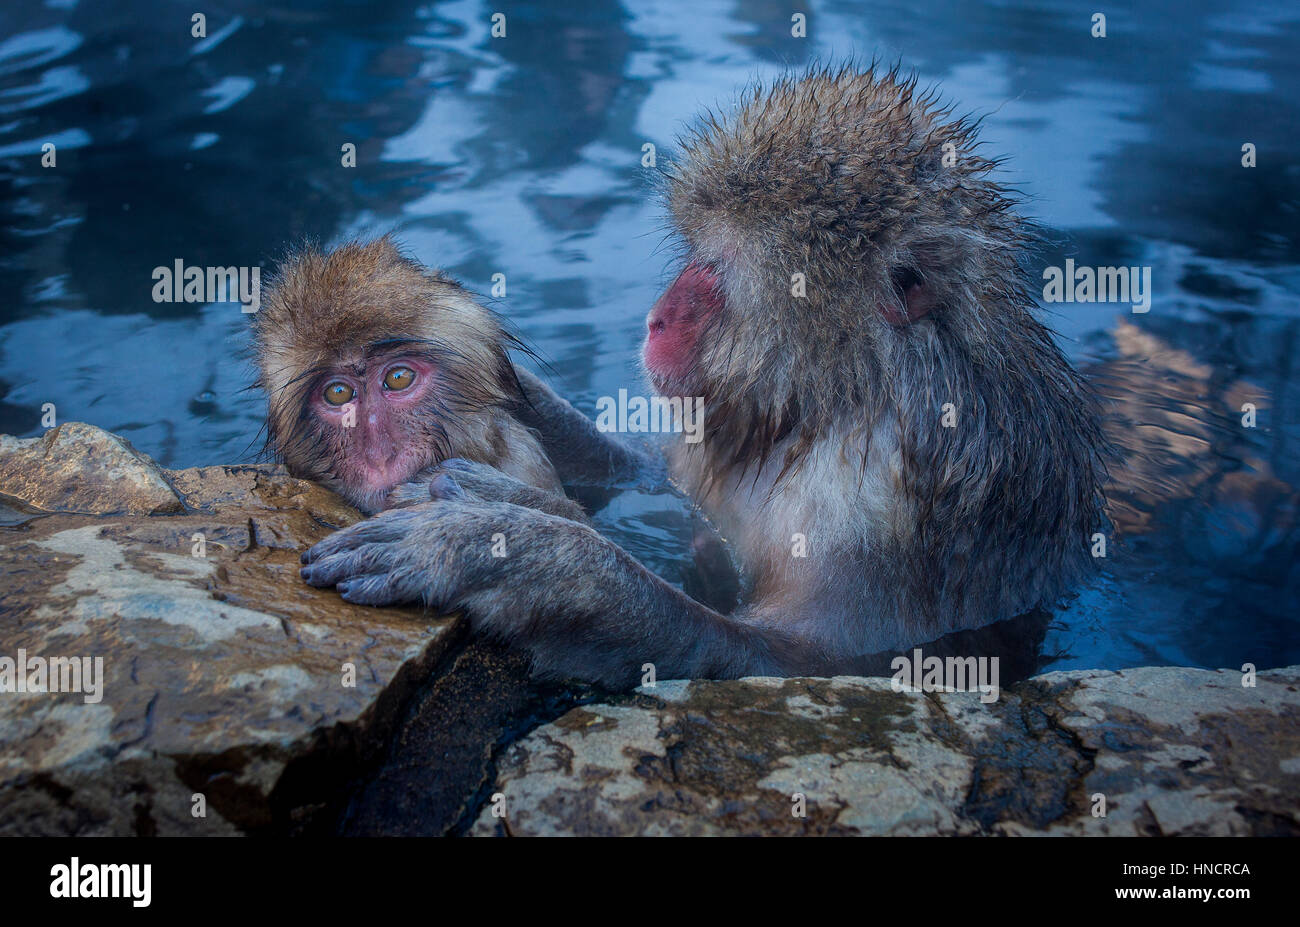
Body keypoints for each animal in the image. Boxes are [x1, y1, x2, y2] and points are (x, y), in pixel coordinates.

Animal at [300, 66, 1109, 686]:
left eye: (716, 272)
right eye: (692, 252)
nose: (658, 318)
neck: (834, 399)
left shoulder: (887, 508)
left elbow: (804, 661)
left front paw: (513, 554)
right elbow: (654, 478)